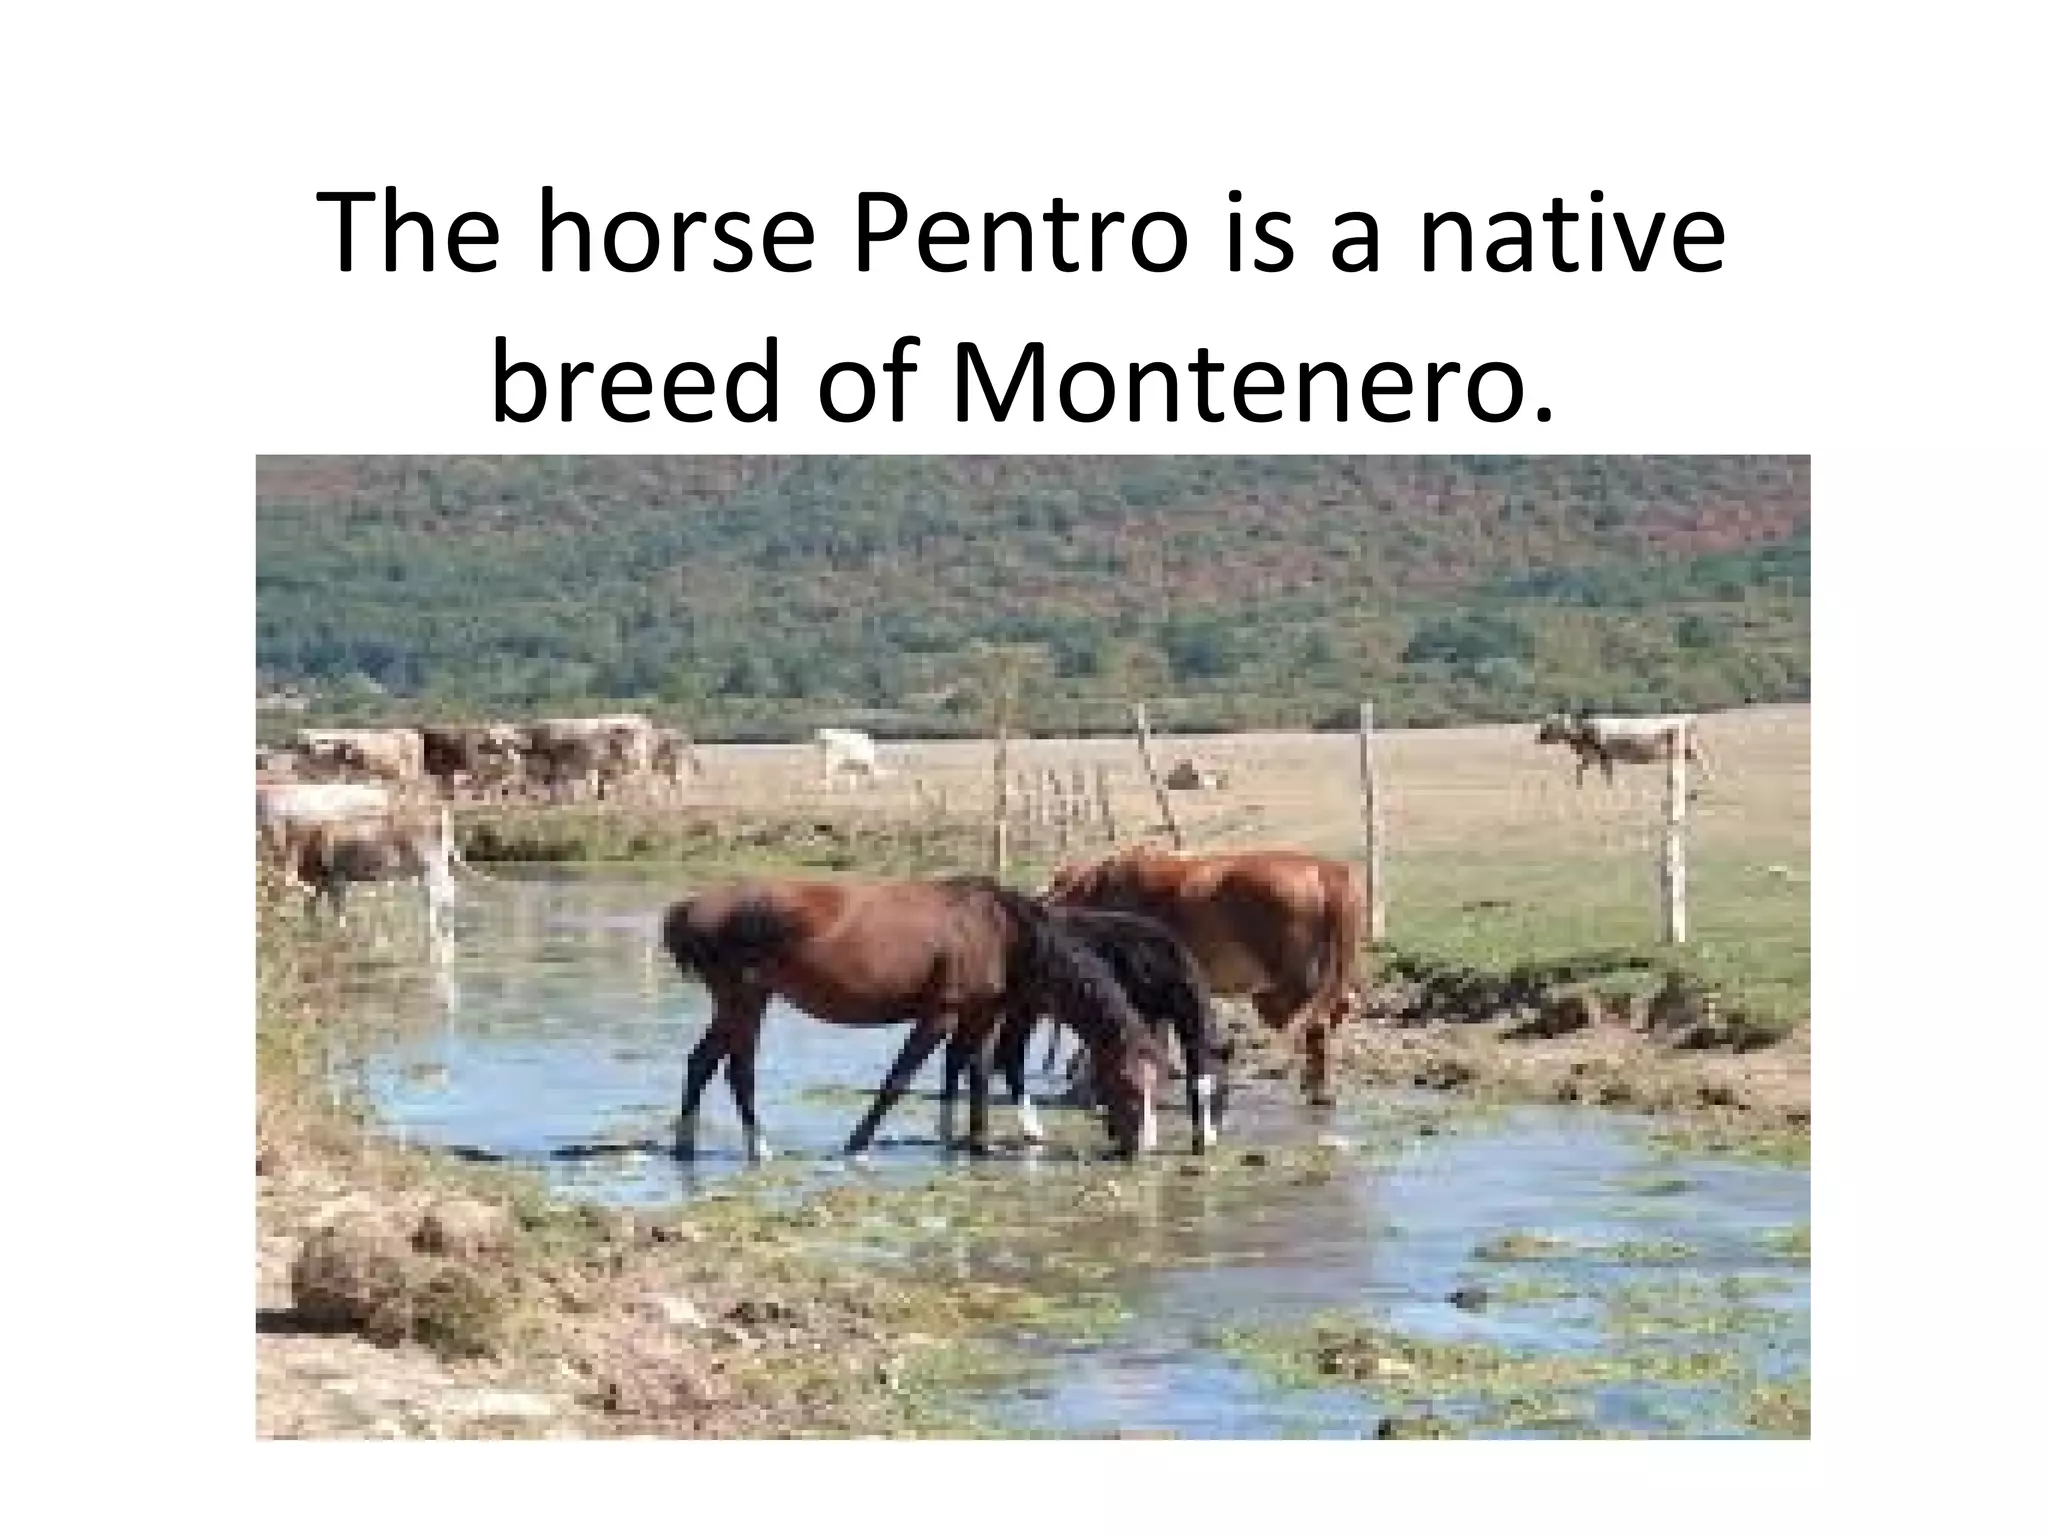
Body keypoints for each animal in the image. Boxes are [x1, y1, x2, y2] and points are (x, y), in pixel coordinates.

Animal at [659, 876, 1165, 1161]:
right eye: (1127, 1084)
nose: (1141, 1149)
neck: (1000, 930)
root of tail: (689, 909)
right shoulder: (940, 1013)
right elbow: (900, 1079)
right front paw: (858, 1143)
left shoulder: (981, 1012)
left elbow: (972, 1071)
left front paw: (974, 1141)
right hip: (744, 999)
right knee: (737, 1070)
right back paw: (758, 1148)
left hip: (741, 1002)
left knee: (701, 1062)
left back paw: (685, 1145)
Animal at [946, 906, 1231, 1154]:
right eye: (1195, 1095)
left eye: (1221, 1093)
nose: (1204, 1144)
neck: (1153, 957)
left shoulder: (1155, 1018)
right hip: (1019, 1009)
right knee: (1004, 1057)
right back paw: (1024, 1130)